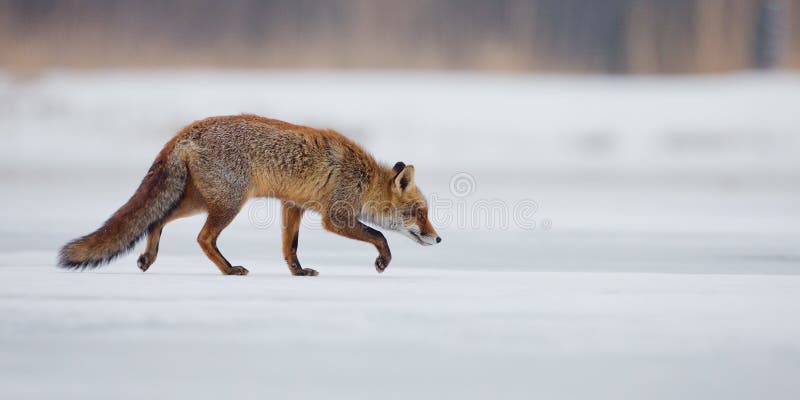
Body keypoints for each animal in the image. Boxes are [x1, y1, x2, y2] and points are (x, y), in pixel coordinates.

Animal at [58, 114, 441, 276]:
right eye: (420, 212)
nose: (438, 239)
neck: (362, 178)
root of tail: (185, 131)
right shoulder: (335, 216)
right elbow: (379, 236)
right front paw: (383, 262)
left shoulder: (293, 206)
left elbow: (290, 248)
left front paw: (298, 274)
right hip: (229, 203)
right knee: (202, 238)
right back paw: (228, 270)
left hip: (200, 200)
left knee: (157, 219)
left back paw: (148, 258)